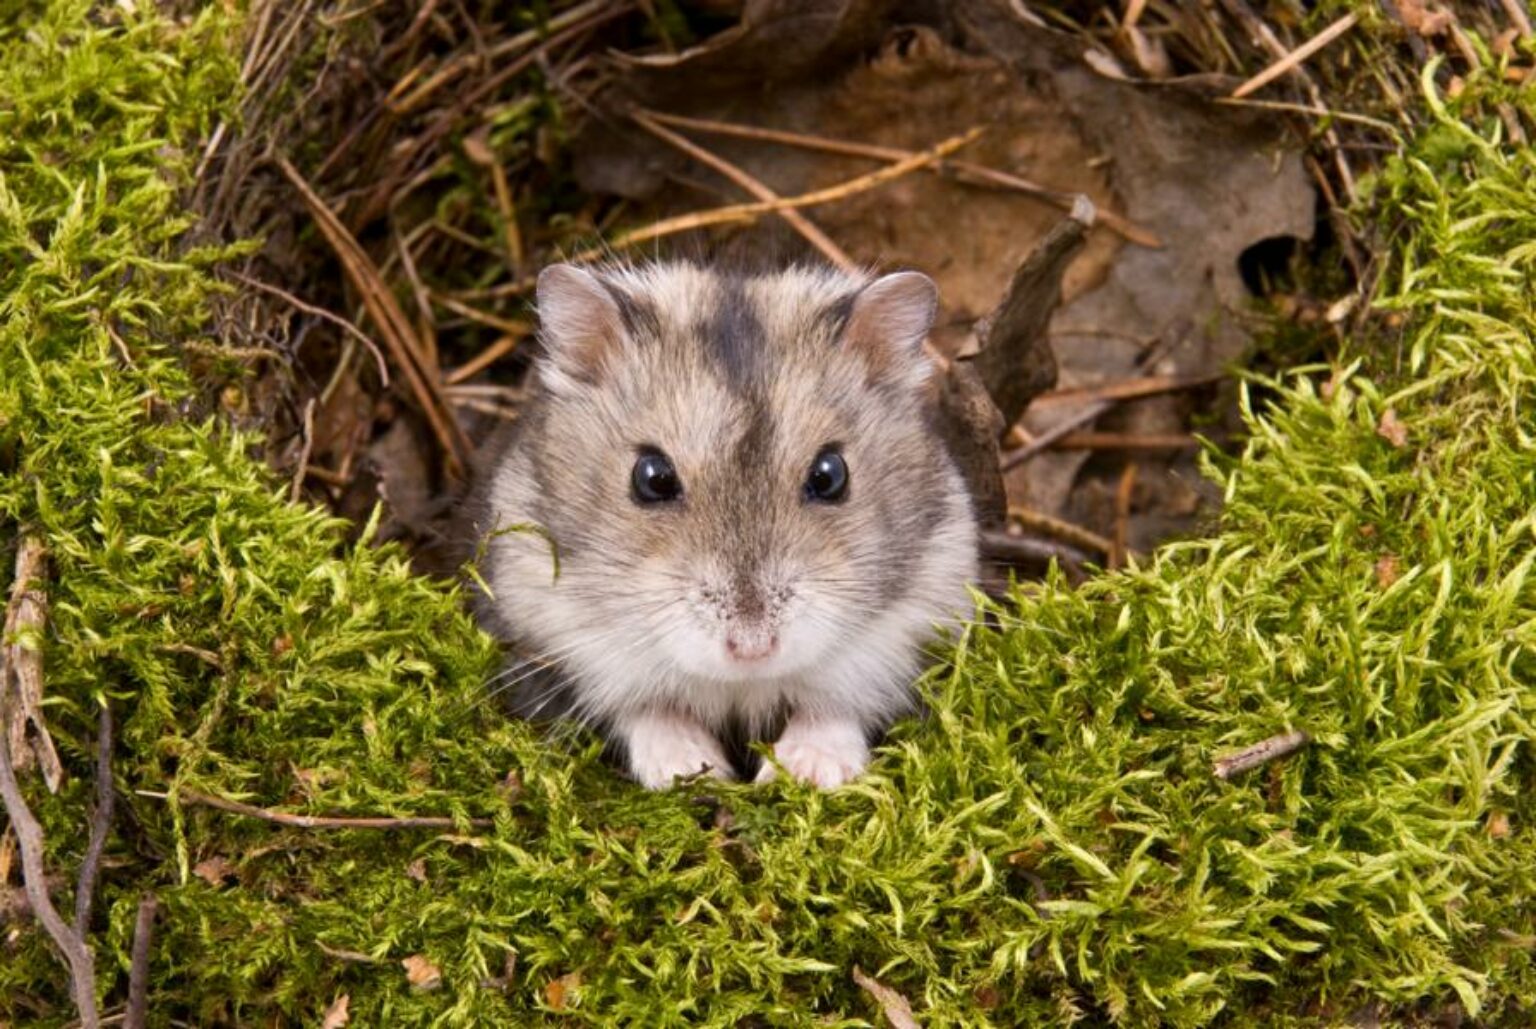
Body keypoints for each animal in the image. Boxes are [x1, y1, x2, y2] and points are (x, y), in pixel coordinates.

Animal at [472, 260, 977, 789]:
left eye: (831, 474)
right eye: (651, 477)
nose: (752, 649)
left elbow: (835, 707)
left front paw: (806, 772)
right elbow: (645, 709)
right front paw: (694, 770)